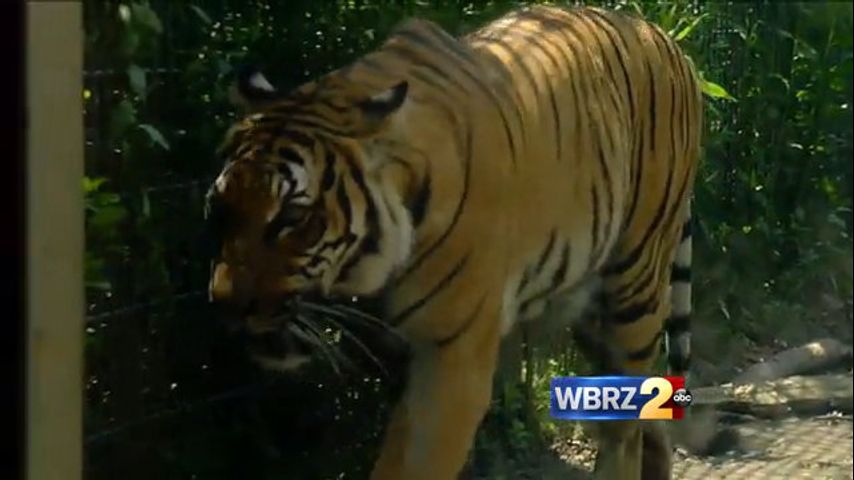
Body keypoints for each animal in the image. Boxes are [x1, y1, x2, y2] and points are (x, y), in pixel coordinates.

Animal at [205, 4, 701, 480]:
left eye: (291, 218)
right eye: (221, 209)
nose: (227, 306)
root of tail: (661, 35)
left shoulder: (452, 359)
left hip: (635, 289)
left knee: (625, 430)